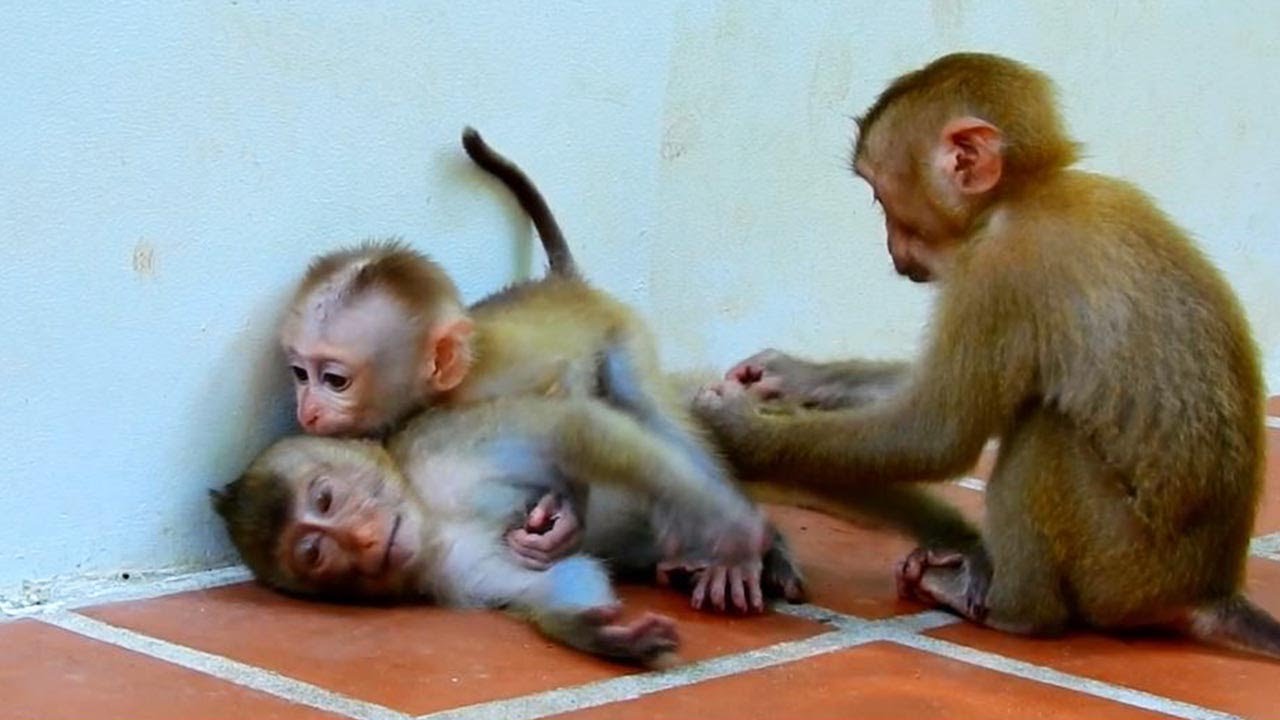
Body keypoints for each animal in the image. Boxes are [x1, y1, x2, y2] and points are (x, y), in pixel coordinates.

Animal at [211, 393, 780, 667]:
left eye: (326, 499)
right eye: (315, 553)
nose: (366, 541)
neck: (431, 515)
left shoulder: (446, 448)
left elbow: (570, 429)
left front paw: (725, 526)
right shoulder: (452, 571)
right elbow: (555, 579)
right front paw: (602, 634)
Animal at [278, 127, 806, 612]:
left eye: (335, 380)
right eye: (300, 374)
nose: (308, 409)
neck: (440, 390)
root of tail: (566, 283)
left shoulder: (492, 383)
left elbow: (567, 410)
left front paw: (569, 514)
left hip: (620, 329)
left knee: (644, 406)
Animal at [692, 52, 1280, 658]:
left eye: (880, 197)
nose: (890, 248)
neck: (1028, 193)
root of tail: (1208, 591)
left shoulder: (997, 269)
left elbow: (933, 434)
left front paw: (739, 428)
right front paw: (790, 376)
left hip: (1122, 569)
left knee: (1043, 427)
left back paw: (1015, 611)